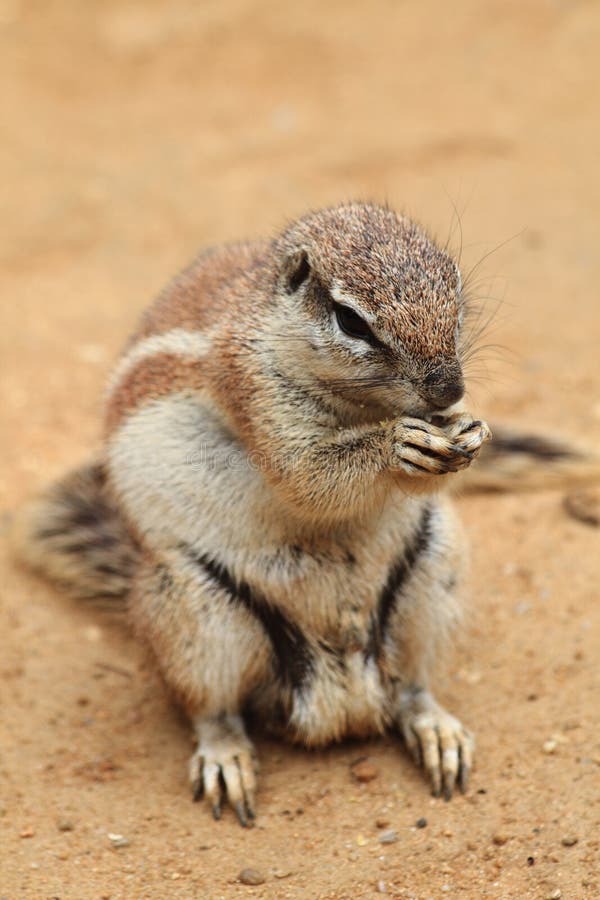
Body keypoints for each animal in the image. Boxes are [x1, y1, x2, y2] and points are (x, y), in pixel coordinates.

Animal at [11, 202, 594, 827]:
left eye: (456, 291)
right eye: (351, 321)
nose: (448, 390)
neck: (360, 405)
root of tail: (341, 700)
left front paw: (469, 431)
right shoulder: (253, 389)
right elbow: (306, 477)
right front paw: (396, 446)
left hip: (431, 573)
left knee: (411, 689)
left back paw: (436, 730)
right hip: (195, 611)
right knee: (212, 709)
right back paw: (226, 758)